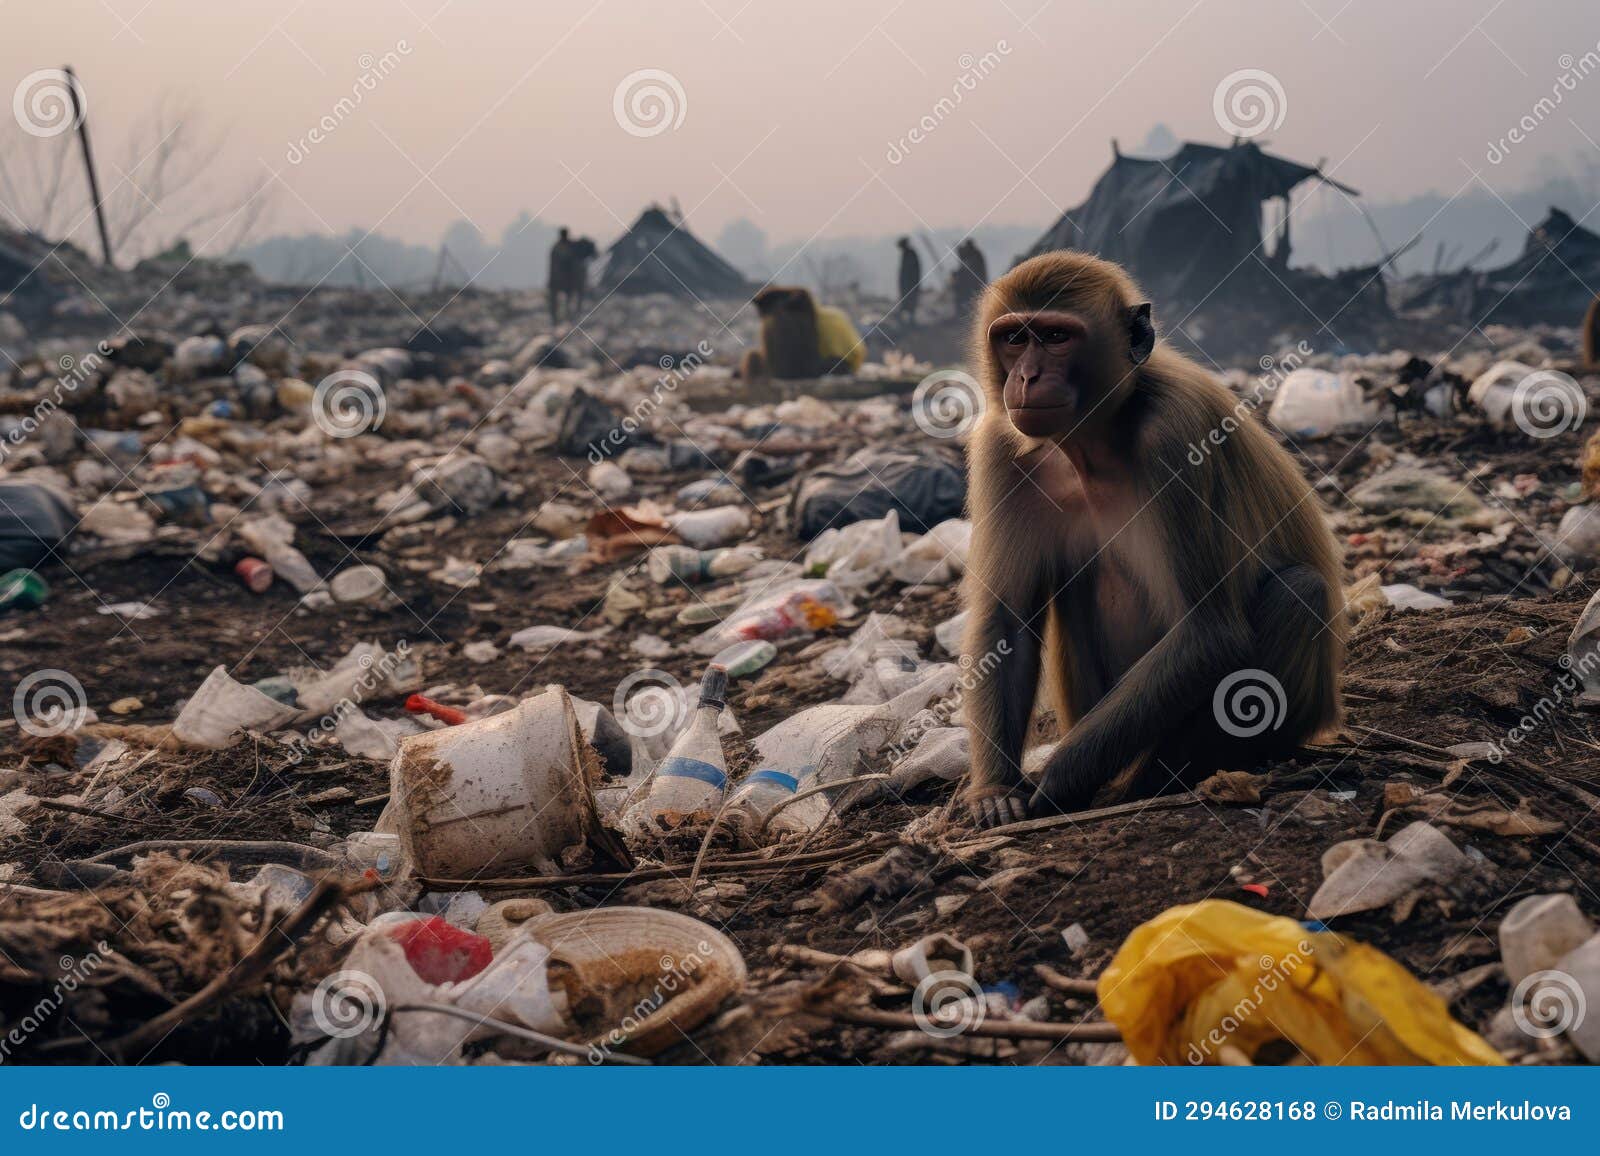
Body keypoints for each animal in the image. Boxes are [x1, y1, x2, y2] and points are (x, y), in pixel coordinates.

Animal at [960, 251, 1345, 828]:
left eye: (1055, 337)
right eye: (1013, 338)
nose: (1025, 377)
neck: (1093, 442)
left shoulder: (1177, 432)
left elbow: (1208, 633)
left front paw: (1059, 779)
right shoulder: (1003, 449)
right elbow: (1007, 621)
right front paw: (996, 789)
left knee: (1298, 592)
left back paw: (1158, 776)